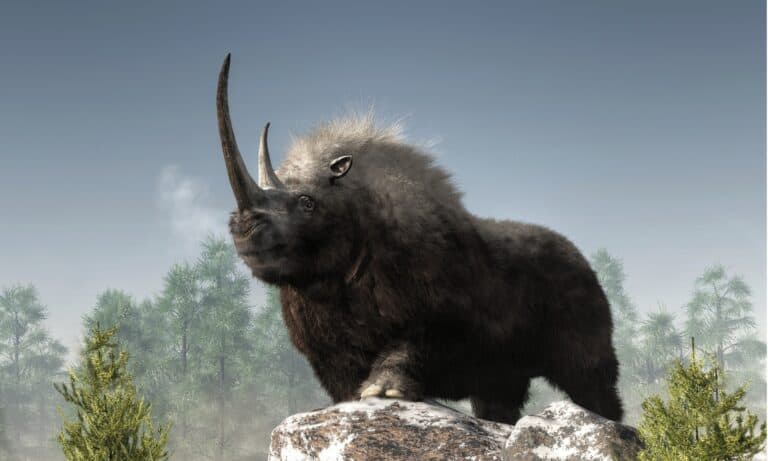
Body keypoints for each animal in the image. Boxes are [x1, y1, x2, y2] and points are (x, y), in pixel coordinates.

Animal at [216, 54, 623, 423]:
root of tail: (582, 257)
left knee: (589, 377)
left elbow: (410, 346)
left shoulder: (444, 318)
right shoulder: (327, 352)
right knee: (499, 392)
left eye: (307, 202)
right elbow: (345, 384)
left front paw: (384, 392)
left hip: (581, 291)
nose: (243, 228)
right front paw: (356, 401)